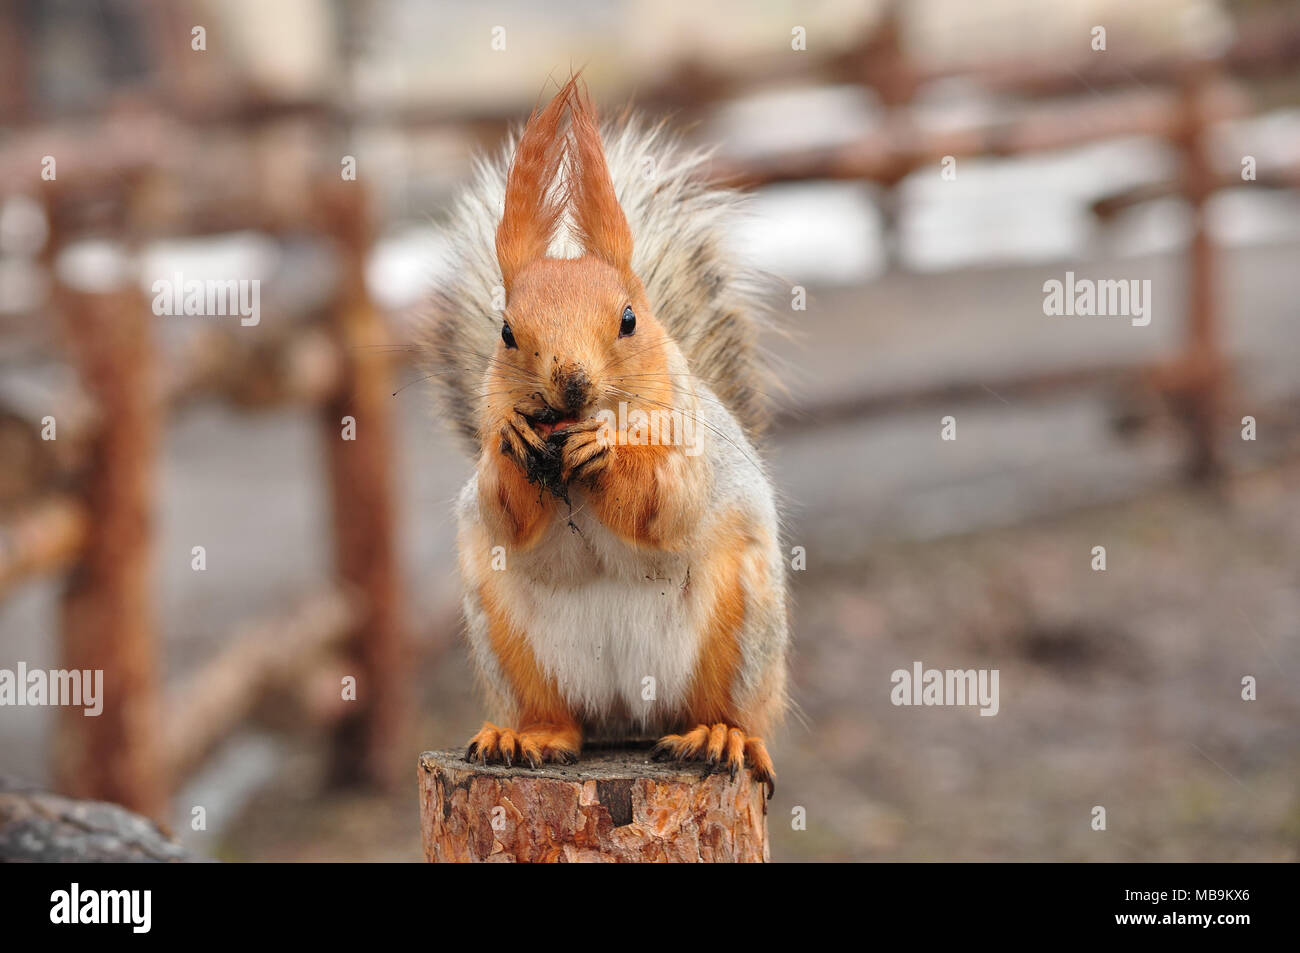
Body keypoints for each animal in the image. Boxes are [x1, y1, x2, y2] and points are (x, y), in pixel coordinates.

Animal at [421, 77, 788, 794]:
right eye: (506, 331)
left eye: (628, 318)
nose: (570, 383)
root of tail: (625, 718)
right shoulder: (492, 479)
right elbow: (505, 512)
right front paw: (516, 444)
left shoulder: (692, 454)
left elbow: (665, 505)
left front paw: (609, 457)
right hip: (508, 639)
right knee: (559, 718)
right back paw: (525, 736)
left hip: (740, 629)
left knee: (728, 710)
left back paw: (720, 734)